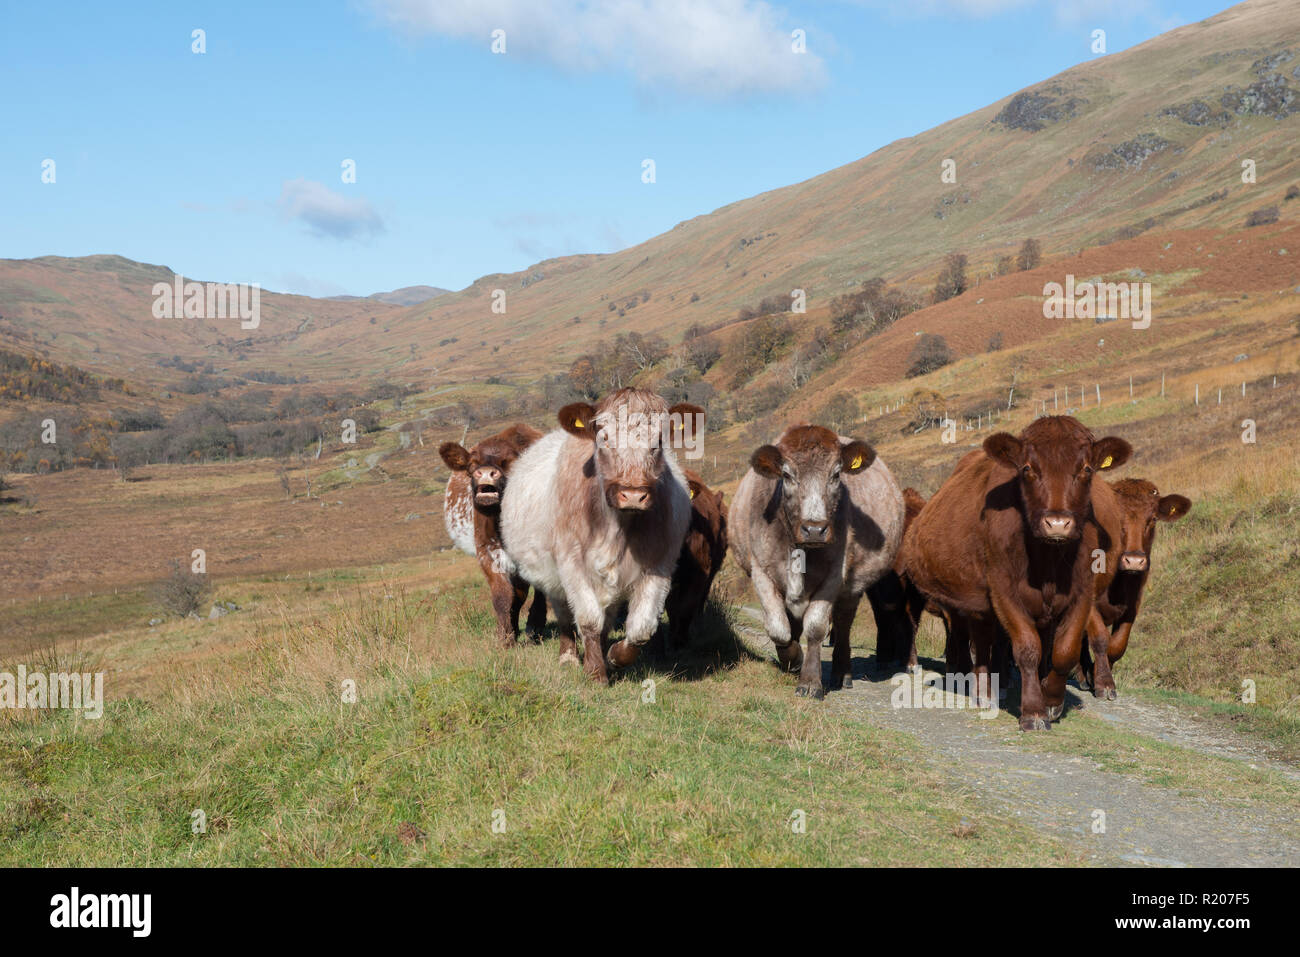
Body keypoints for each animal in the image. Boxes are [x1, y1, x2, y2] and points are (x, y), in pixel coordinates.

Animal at [440, 424, 547, 647]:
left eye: (509, 463)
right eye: (472, 464)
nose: (486, 473)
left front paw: (534, 626)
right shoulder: (487, 549)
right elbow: (502, 595)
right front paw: (505, 637)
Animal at [500, 388, 704, 683]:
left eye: (659, 440)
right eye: (604, 438)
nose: (633, 494)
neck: (619, 528)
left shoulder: (659, 567)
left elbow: (641, 629)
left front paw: (614, 657)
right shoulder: (572, 564)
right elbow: (588, 619)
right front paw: (595, 672)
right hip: (552, 576)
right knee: (565, 613)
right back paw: (569, 656)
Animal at [730, 424, 905, 699]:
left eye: (836, 475)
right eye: (787, 475)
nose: (814, 529)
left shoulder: (835, 575)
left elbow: (815, 627)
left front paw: (810, 680)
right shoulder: (760, 570)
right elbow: (779, 628)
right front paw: (792, 660)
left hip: (853, 586)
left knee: (843, 623)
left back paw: (842, 673)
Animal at [901, 416, 1131, 730]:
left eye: (1086, 469)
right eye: (1028, 469)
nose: (1057, 523)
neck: (1048, 561)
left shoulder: (1082, 593)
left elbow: (1064, 651)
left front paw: (1052, 702)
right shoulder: (1003, 592)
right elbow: (1027, 648)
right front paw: (1033, 711)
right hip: (974, 602)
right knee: (980, 642)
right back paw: (983, 693)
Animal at [1080, 477, 1191, 698]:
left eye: (1153, 519)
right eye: (1114, 518)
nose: (1134, 560)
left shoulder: (1132, 606)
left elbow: (1118, 645)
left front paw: (1096, 672)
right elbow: (1100, 639)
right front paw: (1104, 682)